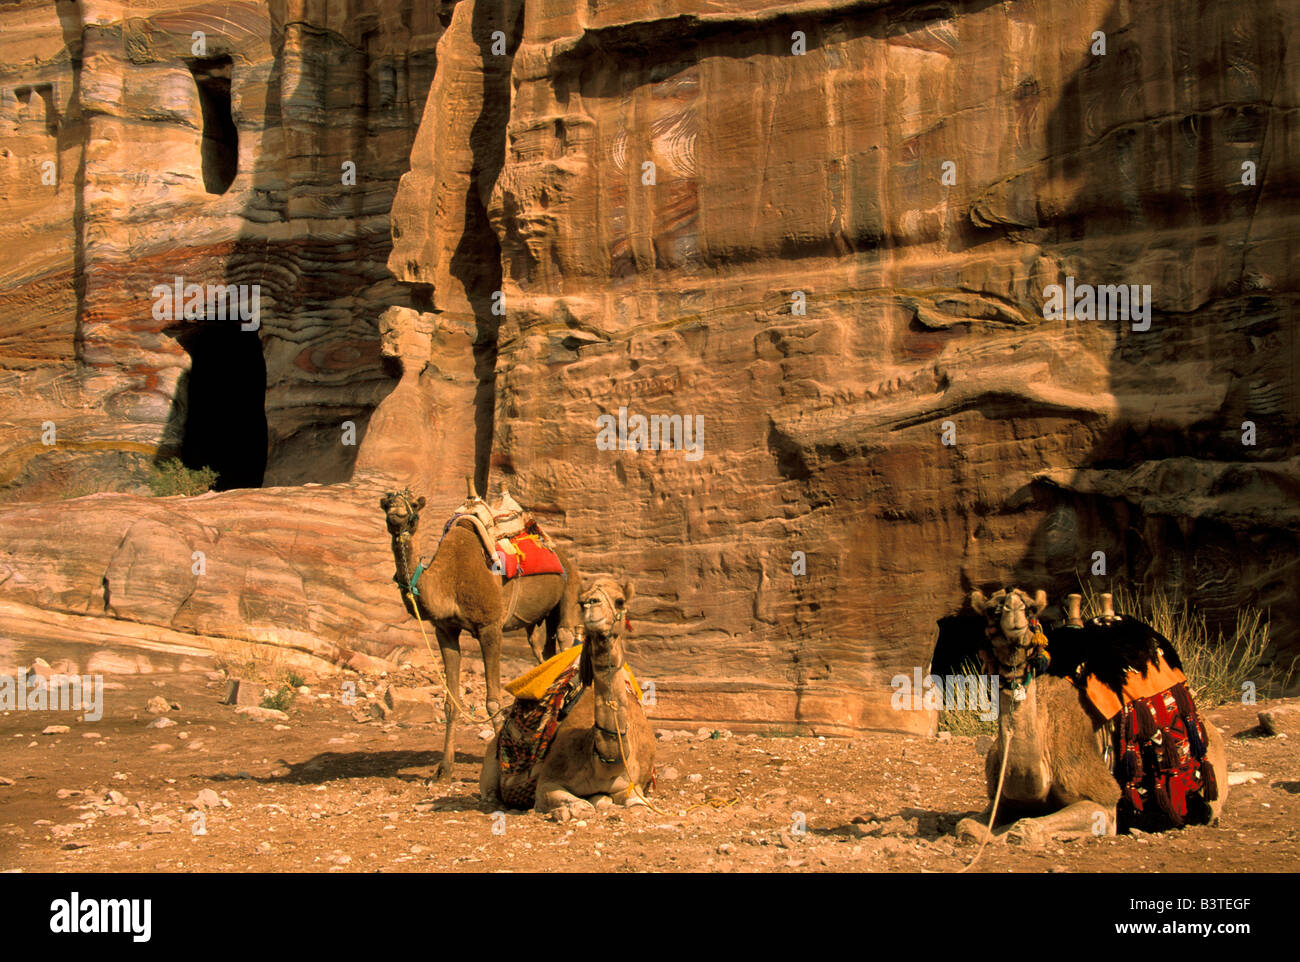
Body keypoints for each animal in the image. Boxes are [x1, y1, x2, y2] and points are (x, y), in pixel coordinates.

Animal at [380, 485, 582, 783]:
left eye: (414, 505)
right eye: (385, 503)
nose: (396, 512)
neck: (448, 580)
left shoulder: (490, 627)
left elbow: (493, 703)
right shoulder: (445, 630)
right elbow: (450, 703)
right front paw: (443, 770)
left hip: (569, 591)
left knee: (567, 639)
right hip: (540, 619)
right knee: (544, 652)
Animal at [480, 578, 655, 820]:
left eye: (620, 601)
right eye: (582, 602)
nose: (592, 604)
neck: (603, 765)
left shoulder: (632, 784)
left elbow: (637, 804)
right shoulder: (547, 782)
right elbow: (581, 805)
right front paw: (568, 809)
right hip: (491, 764)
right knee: (490, 794)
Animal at [955, 588, 1227, 848]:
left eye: (1031, 607)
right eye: (992, 610)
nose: (1013, 613)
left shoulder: (1102, 803)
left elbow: (1025, 828)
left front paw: (1008, 833)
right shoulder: (1000, 797)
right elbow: (967, 827)